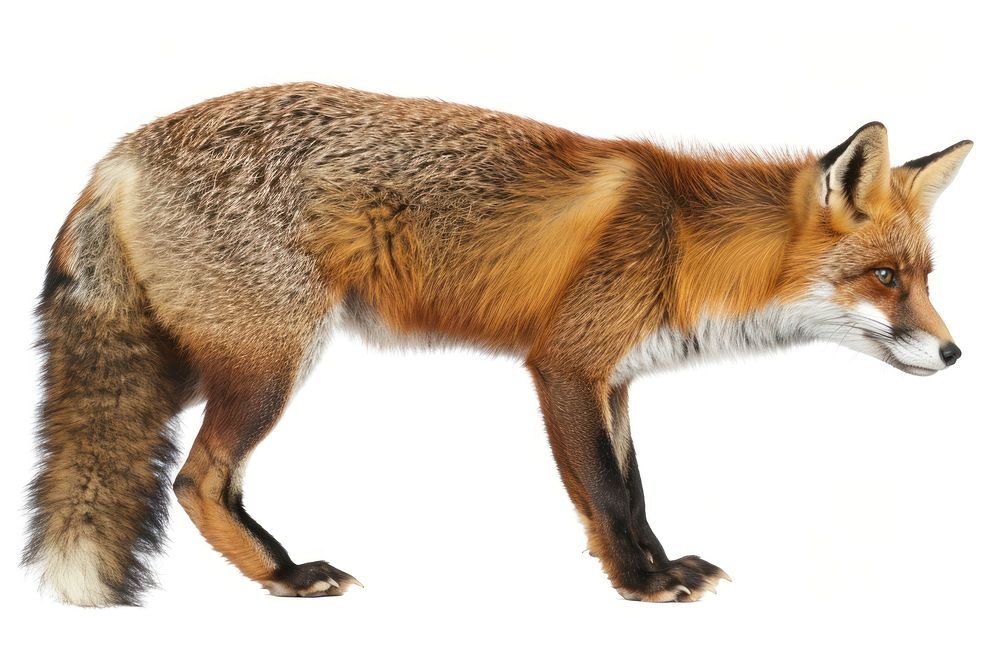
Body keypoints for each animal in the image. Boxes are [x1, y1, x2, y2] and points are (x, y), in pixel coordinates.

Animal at [24, 83, 971, 606]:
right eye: (884, 277)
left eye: (926, 277)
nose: (956, 354)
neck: (684, 243)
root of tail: (118, 154)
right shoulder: (566, 364)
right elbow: (609, 496)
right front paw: (642, 586)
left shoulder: (616, 381)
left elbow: (632, 491)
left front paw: (658, 565)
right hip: (268, 367)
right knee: (196, 479)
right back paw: (287, 576)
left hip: (186, 368)